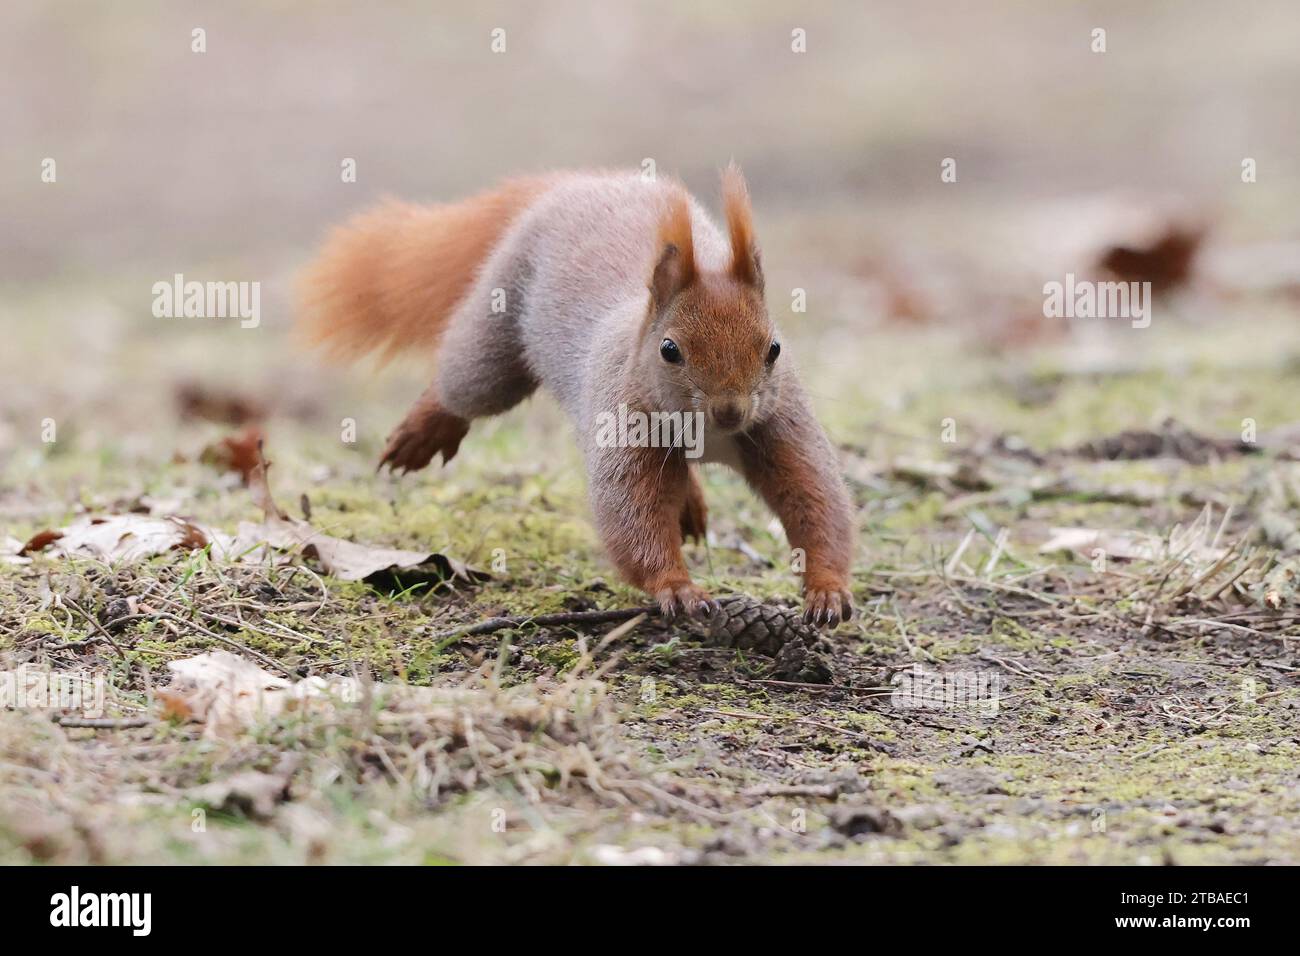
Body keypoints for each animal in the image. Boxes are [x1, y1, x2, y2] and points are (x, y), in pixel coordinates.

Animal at [298, 166, 856, 626]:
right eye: (670, 350)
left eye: (774, 348)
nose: (730, 411)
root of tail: (577, 182)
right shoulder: (623, 421)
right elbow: (630, 511)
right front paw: (678, 588)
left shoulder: (778, 424)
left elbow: (815, 497)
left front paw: (827, 591)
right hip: (498, 324)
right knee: (464, 383)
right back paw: (423, 431)